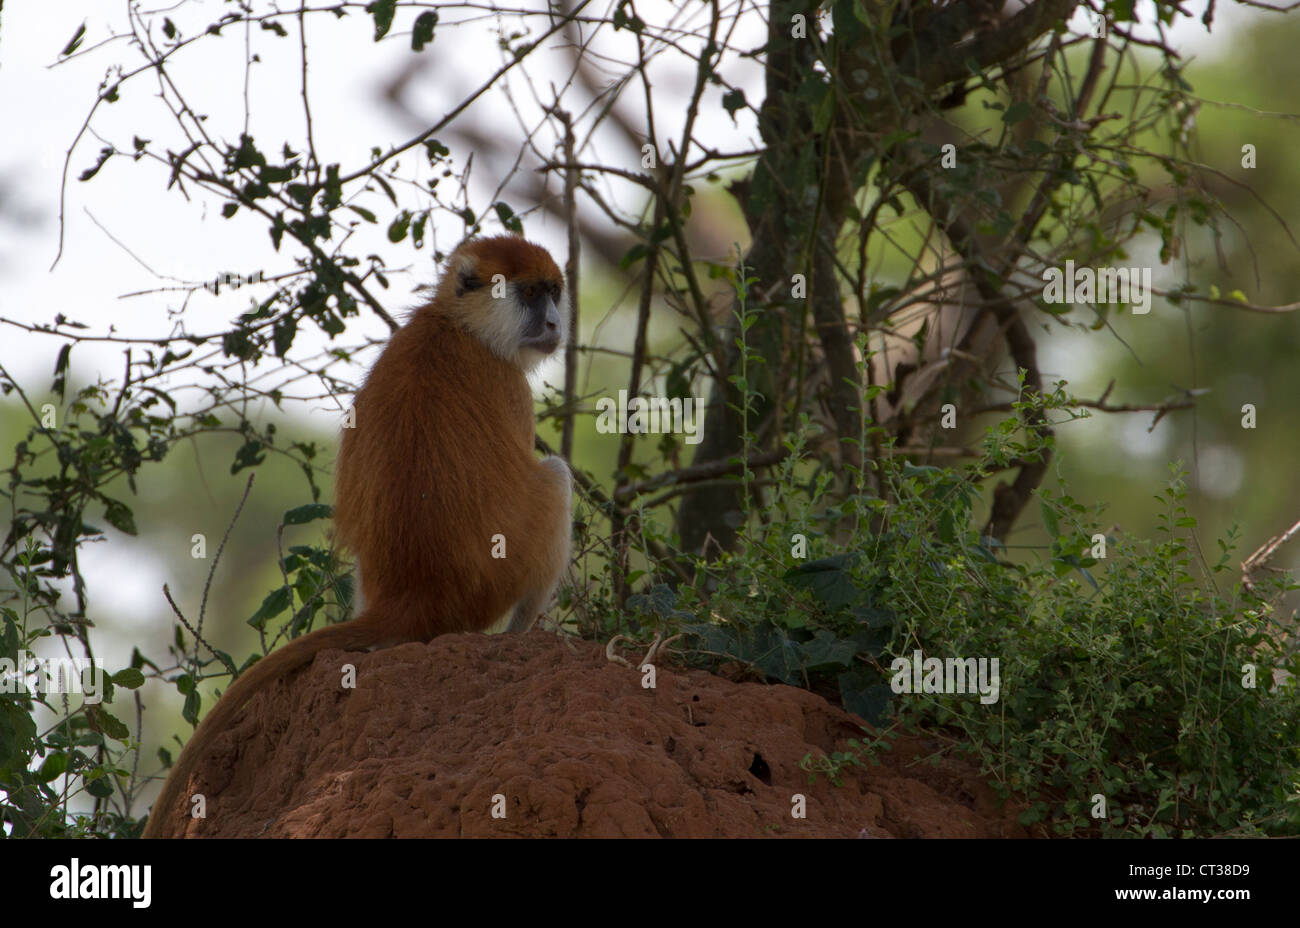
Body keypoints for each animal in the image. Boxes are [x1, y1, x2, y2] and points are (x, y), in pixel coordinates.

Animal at [142, 235, 573, 838]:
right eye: (532, 295)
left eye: (554, 292)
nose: (554, 321)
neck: (459, 324)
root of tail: (412, 597)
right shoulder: (508, 383)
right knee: (555, 479)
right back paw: (520, 636)